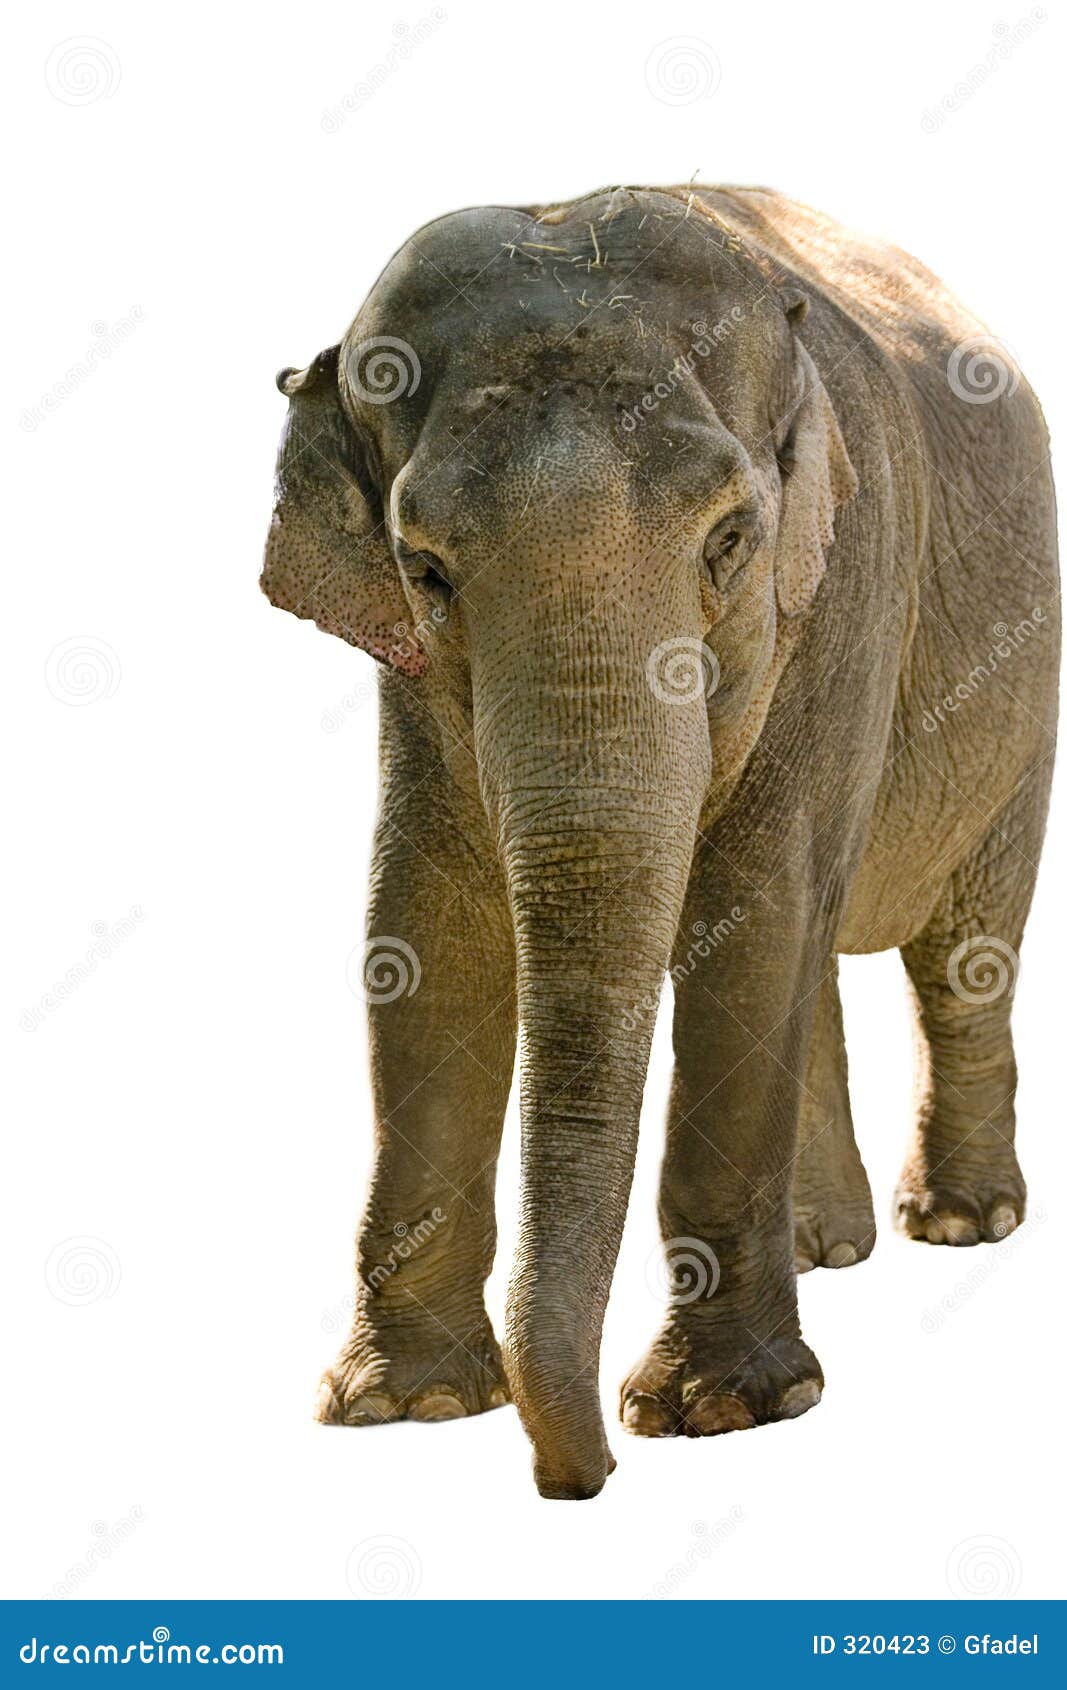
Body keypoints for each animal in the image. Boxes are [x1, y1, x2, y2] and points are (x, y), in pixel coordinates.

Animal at [260, 184, 1058, 1500]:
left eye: (728, 540)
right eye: (423, 569)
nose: (574, 1480)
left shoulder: (844, 588)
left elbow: (755, 911)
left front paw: (720, 1412)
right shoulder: (413, 680)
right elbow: (423, 933)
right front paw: (399, 1406)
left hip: (1023, 680)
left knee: (956, 950)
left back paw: (960, 1223)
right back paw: (824, 1245)